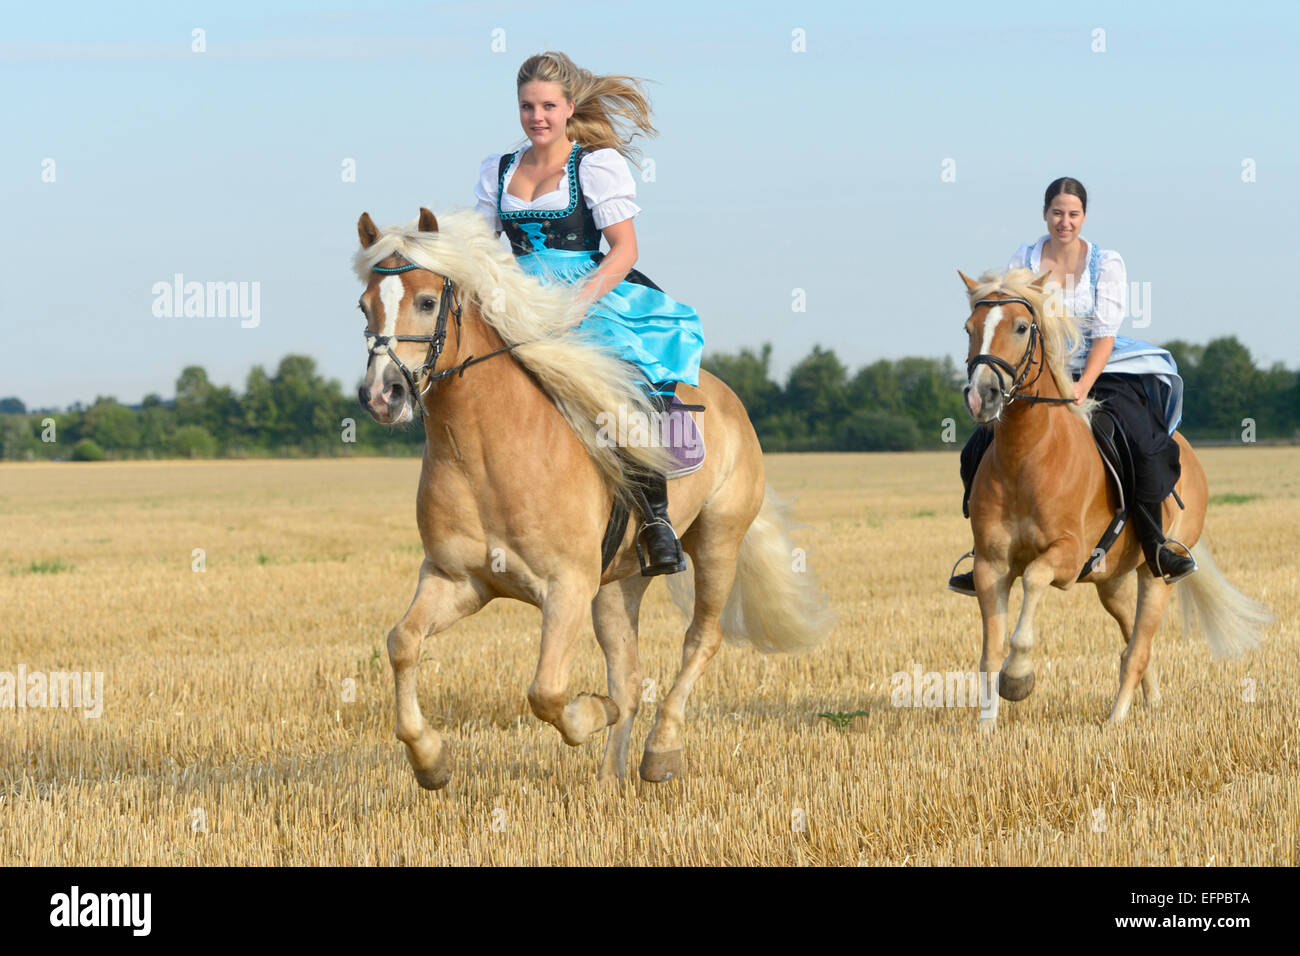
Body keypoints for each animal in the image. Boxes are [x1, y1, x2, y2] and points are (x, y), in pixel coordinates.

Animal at [353, 207, 833, 788]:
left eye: (426, 301)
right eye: (364, 305)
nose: (382, 395)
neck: (485, 453)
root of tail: (728, 398)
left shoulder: (566, 588)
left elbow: (546, 691)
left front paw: (591, 711)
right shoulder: (457, 580)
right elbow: (401, 643)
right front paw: (430, 761)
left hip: (717, 538)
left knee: (702, 639)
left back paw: (660, 751)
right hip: (618, 583)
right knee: (628, 672)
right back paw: (610, 778)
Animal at [957, 267, 1272, 726]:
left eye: (1020, 327)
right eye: (970, 328)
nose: (982, 397)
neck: (1026, 456)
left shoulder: (1067, 555)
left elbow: (1033, 579)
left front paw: (1019, 678)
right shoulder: (990, 564)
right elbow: (989, 650)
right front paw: (985, 727)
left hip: (1156, 576)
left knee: (1138, 647)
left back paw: (1115, 720)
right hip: (1113, 579)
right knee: (1132, 642)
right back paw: (1152, 704)